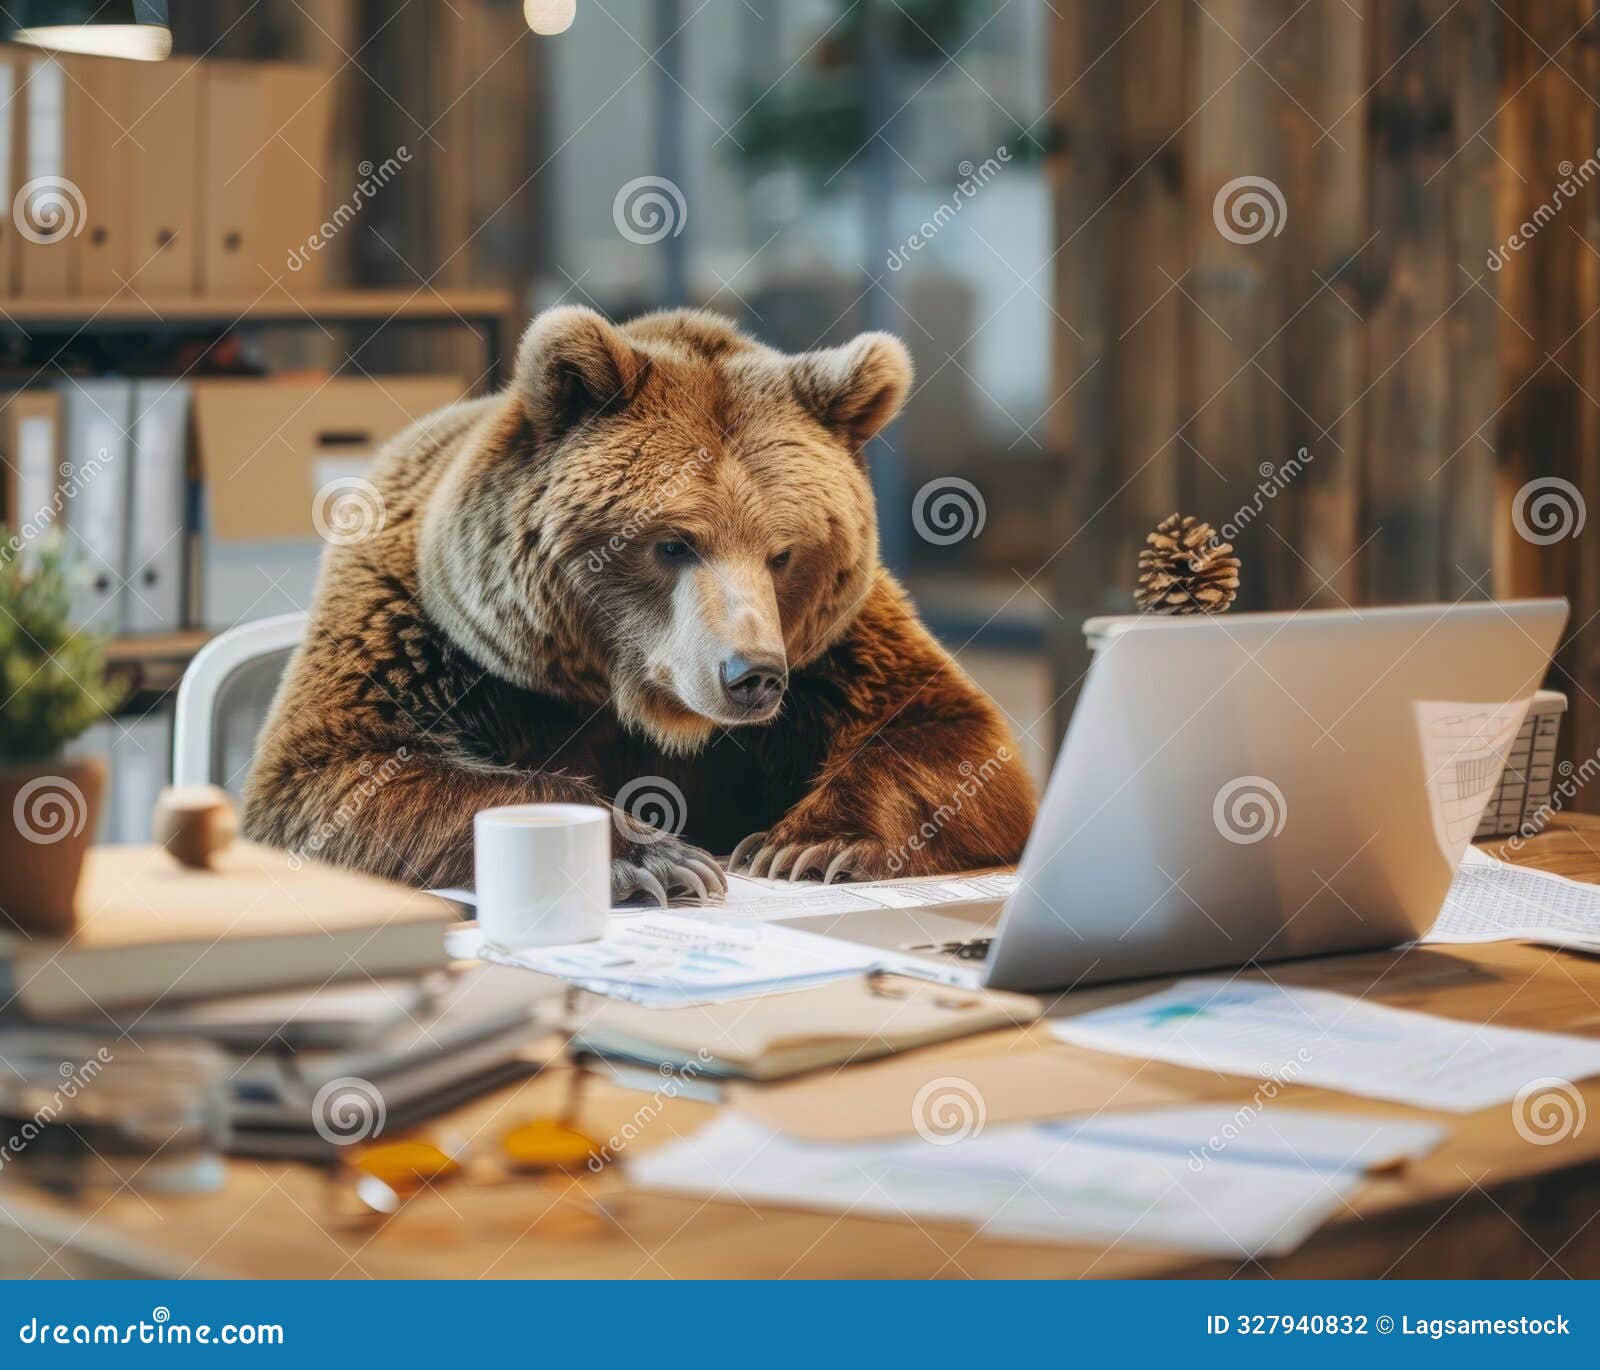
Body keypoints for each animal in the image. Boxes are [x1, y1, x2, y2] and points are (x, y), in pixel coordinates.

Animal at [241, 306, 1038, 903]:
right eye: (673, 543)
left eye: (783, 552)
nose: (751, 675)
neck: (623, 696)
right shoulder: (427, 635)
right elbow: (335, 771)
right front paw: (658, 858)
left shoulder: (834, 648)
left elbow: (949, 734)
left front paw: (807, 845)